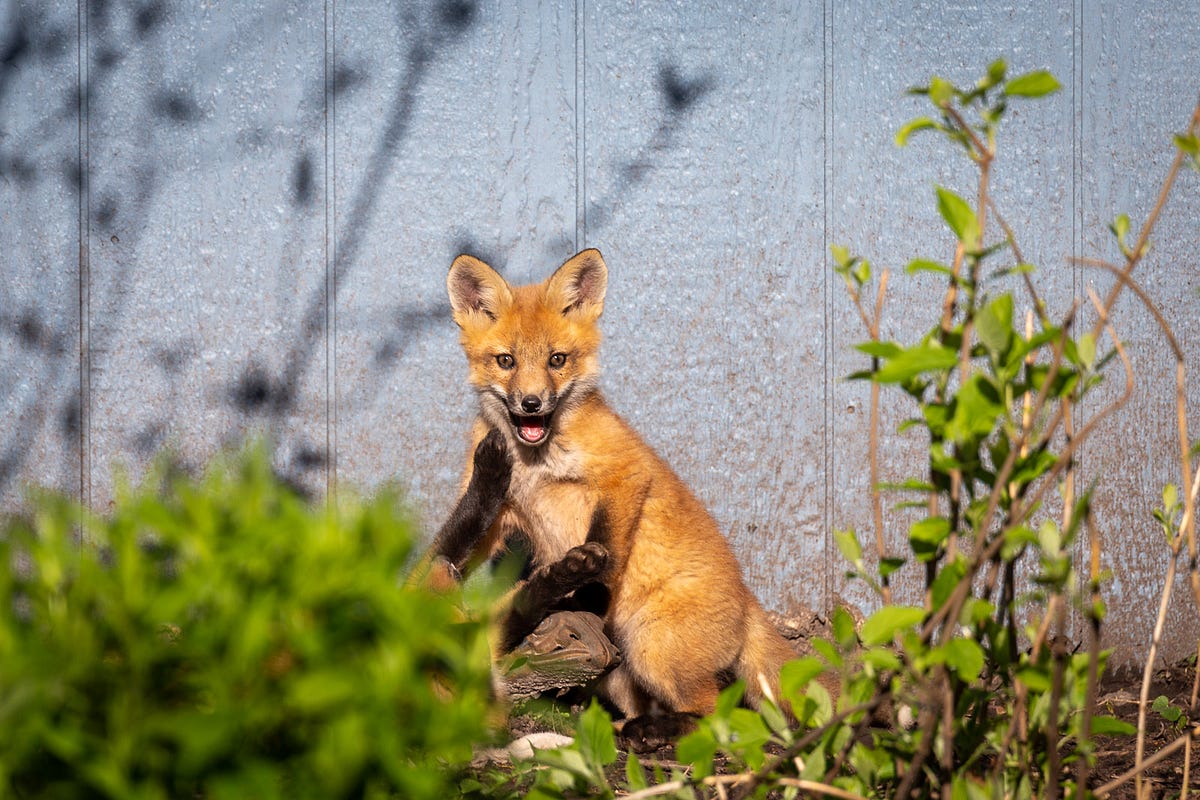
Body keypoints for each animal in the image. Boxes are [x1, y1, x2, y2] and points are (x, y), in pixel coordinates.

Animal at [426, 248, 797, 749]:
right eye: (505, 360)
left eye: (557, 360)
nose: (531, 403)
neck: (537, 464)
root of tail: (748, 598)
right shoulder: (499, 517)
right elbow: (459, 541)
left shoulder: (626, 475)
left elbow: (607, 546)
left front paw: (586, 589)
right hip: (623, 672)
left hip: (654, 652)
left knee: (719, 718)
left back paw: (654, 732)